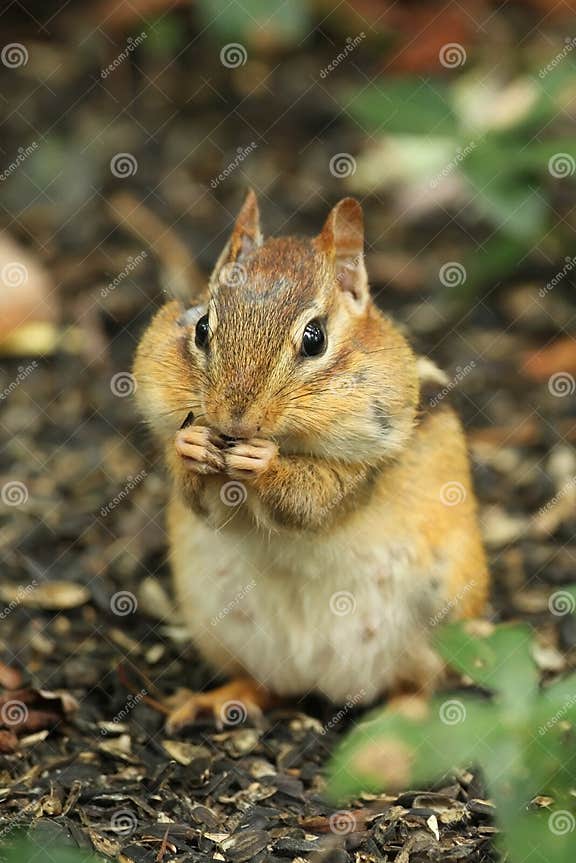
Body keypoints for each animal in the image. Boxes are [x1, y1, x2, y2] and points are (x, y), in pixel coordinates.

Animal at [133, 191, 489, 731]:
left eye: (315, 338)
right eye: (201, 327)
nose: (235, 421)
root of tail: (325, 677)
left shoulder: (366, 464)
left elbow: (315, 501)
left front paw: (265, 462)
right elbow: (202, 501)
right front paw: (189, 447)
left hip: (444, 618)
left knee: (418, 684)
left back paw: (401, 717)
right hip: (218, 625)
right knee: (264, 685)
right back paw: (214, 700)